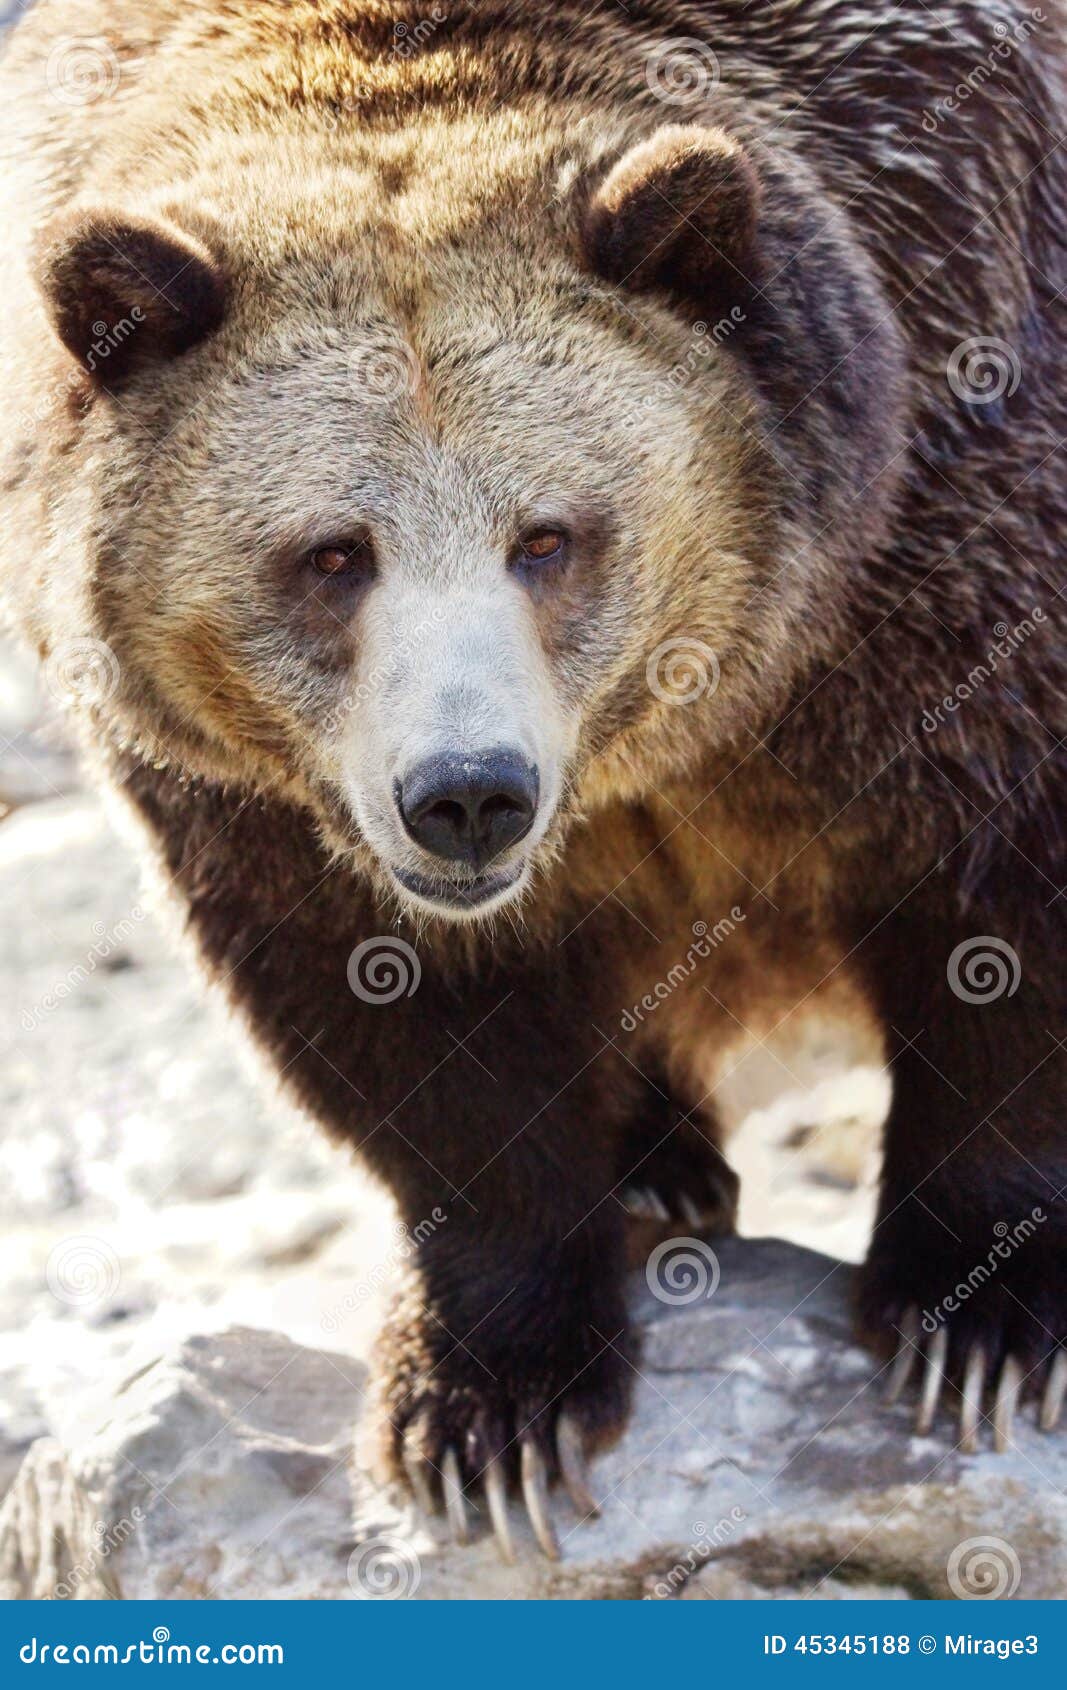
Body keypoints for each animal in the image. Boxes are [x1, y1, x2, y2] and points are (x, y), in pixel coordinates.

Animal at [1, 0, 1065, 1561]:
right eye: (334, 554)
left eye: (547, 536)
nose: (467, 793)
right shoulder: (252, 798)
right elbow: (408, 1029)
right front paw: (491, 1402)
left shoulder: (948, 524)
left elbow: (1000, 902)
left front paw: (978, 1319)